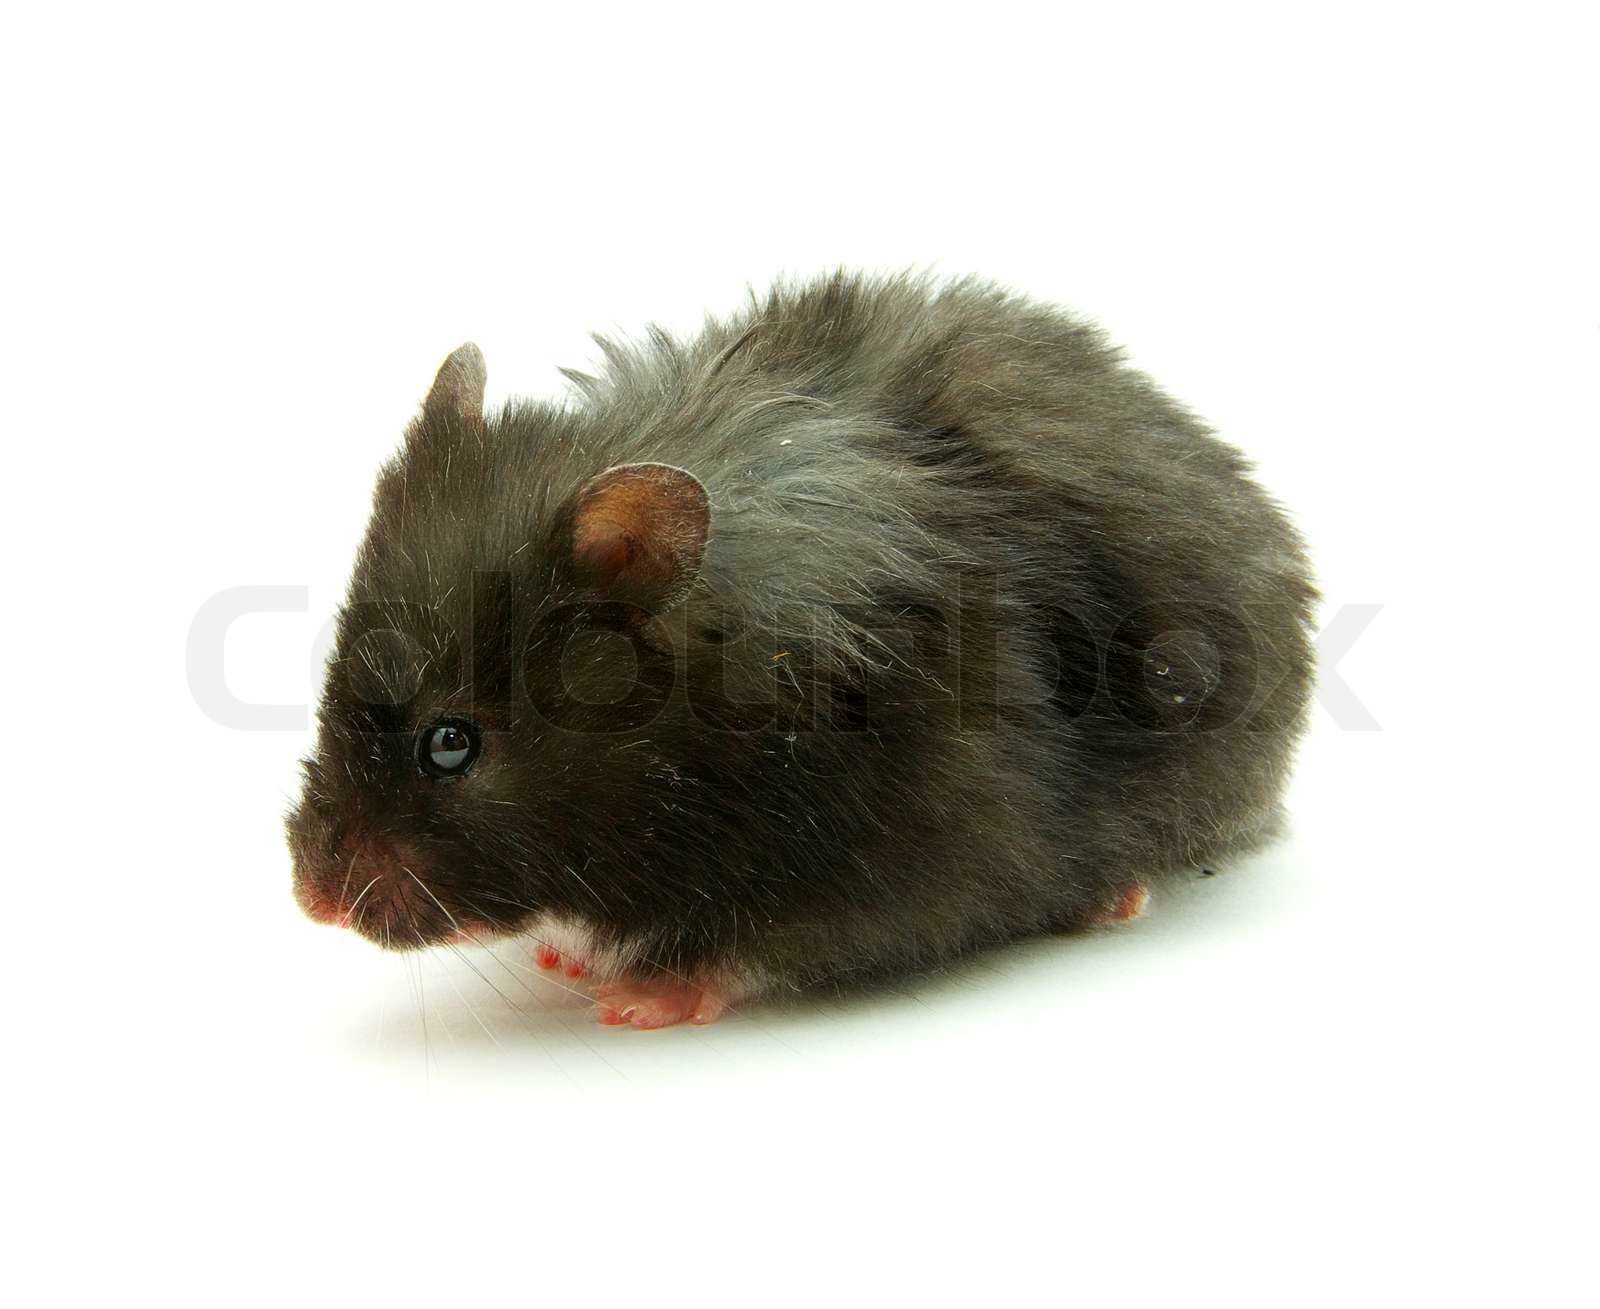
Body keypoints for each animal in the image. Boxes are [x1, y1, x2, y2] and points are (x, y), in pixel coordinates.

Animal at [287, 271, 1317, 1029]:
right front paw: (562, 955)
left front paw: (632, 997)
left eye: (450, 744)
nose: (310, 898)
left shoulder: (914, 845)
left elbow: (766, 944)